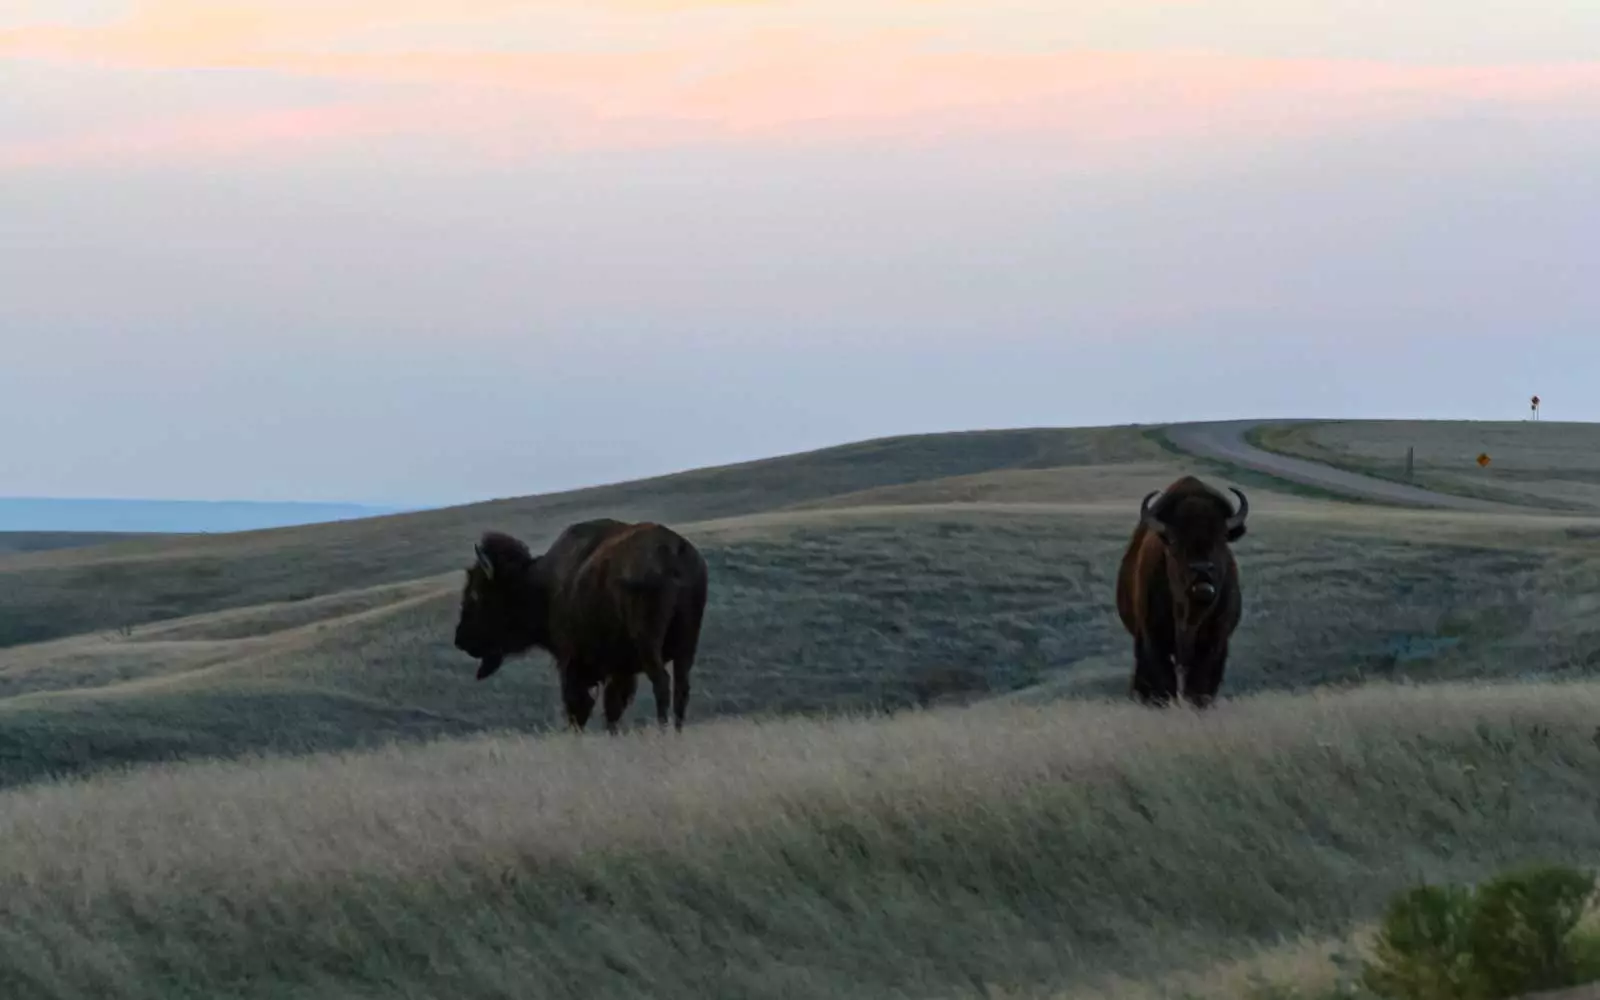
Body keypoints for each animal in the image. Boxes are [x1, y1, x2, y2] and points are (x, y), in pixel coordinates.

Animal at [448, 518, 704, 729]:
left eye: (476, 595)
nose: (460, 640)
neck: (540, 586)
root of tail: (673, 552)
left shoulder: (572, 663)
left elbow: (579, 709)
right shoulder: (619, 669)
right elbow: (612, 709)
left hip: (649, 646)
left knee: (661, 682)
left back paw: (663, 730)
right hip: (686, 647)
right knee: (681, 688)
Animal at [1113, 476, 1248, 707]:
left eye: (1222, 537)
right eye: (1175, 541)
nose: (1202, 570)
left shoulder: (1215, 641)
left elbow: (1200, 683)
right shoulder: (1154, 638)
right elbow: (1164, 680)